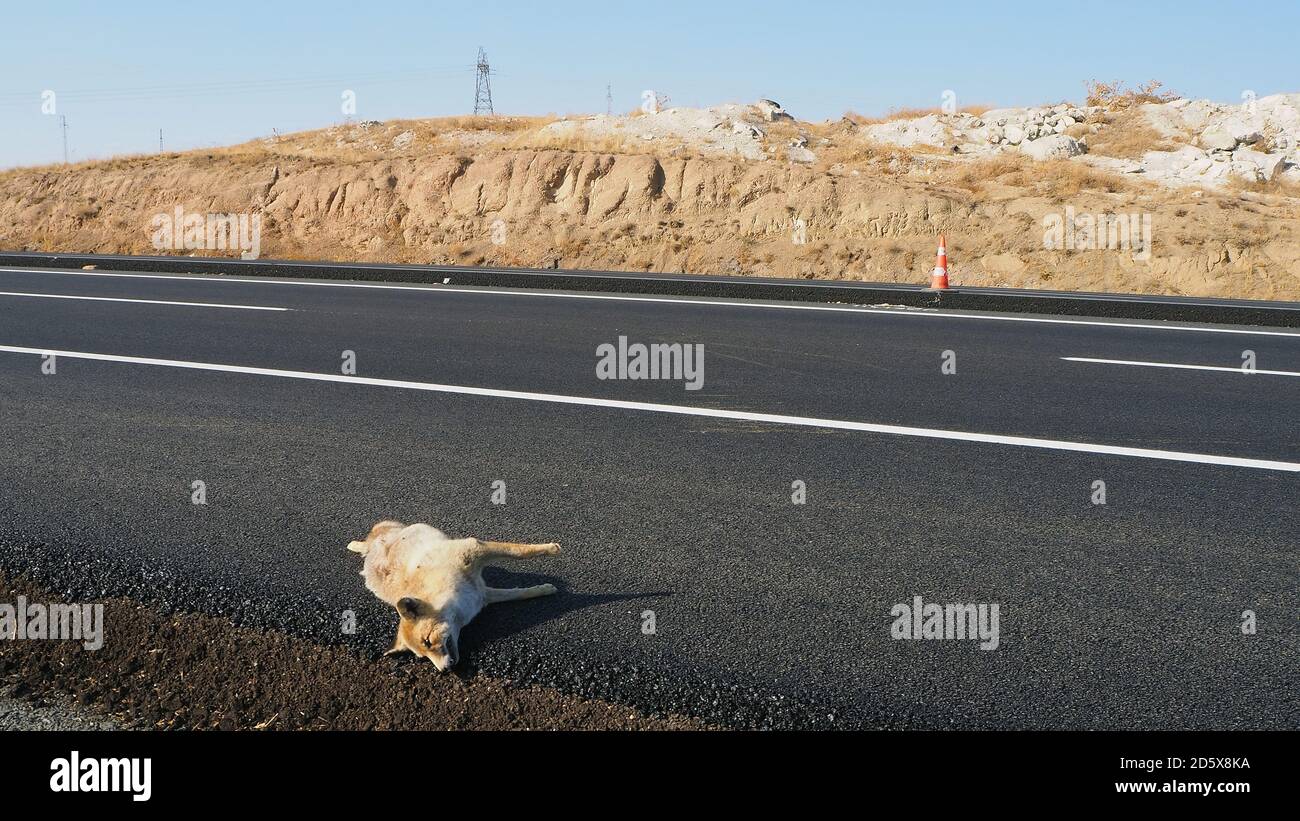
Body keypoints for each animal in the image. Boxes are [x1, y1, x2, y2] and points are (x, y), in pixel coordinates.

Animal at [347, 520, 561, 671]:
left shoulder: (476, 552)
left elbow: (520, 551)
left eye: (428, 641)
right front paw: (545, 589)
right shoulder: (483, 595)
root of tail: (370, 548)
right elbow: (520, 593)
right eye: (423, 657)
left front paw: (550, 550)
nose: (444, 670)